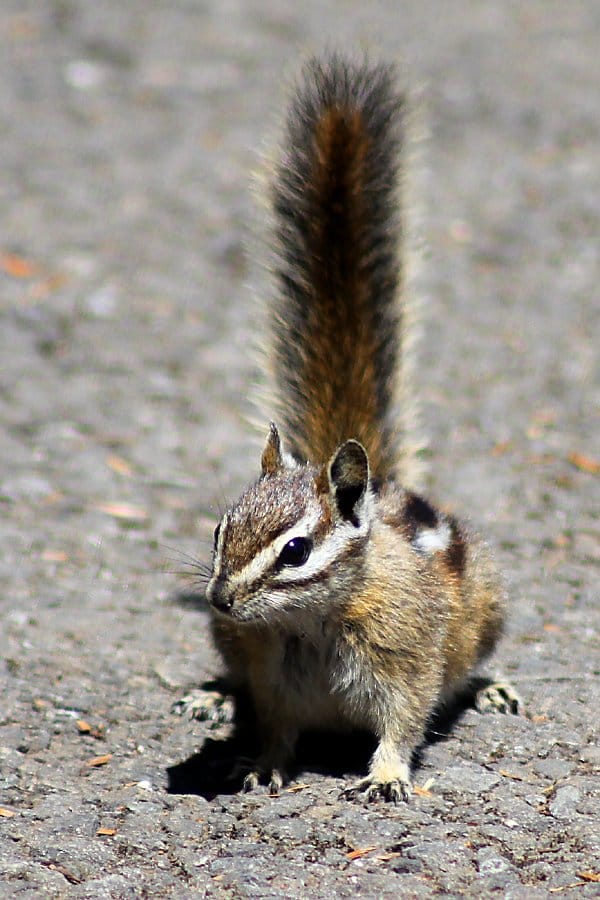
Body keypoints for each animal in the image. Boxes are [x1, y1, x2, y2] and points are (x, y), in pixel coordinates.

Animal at [186, 52, 520, 802]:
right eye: (220, 531)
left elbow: (405, 719)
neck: (309, 620)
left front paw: (389, 775)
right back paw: (214, 694)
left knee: (470, 666)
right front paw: (261, 763)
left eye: (296, 552)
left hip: (485, 609)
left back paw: (491, 687)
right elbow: (276, 728)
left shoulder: (407, 661)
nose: (220, 599)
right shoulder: (274, 683)